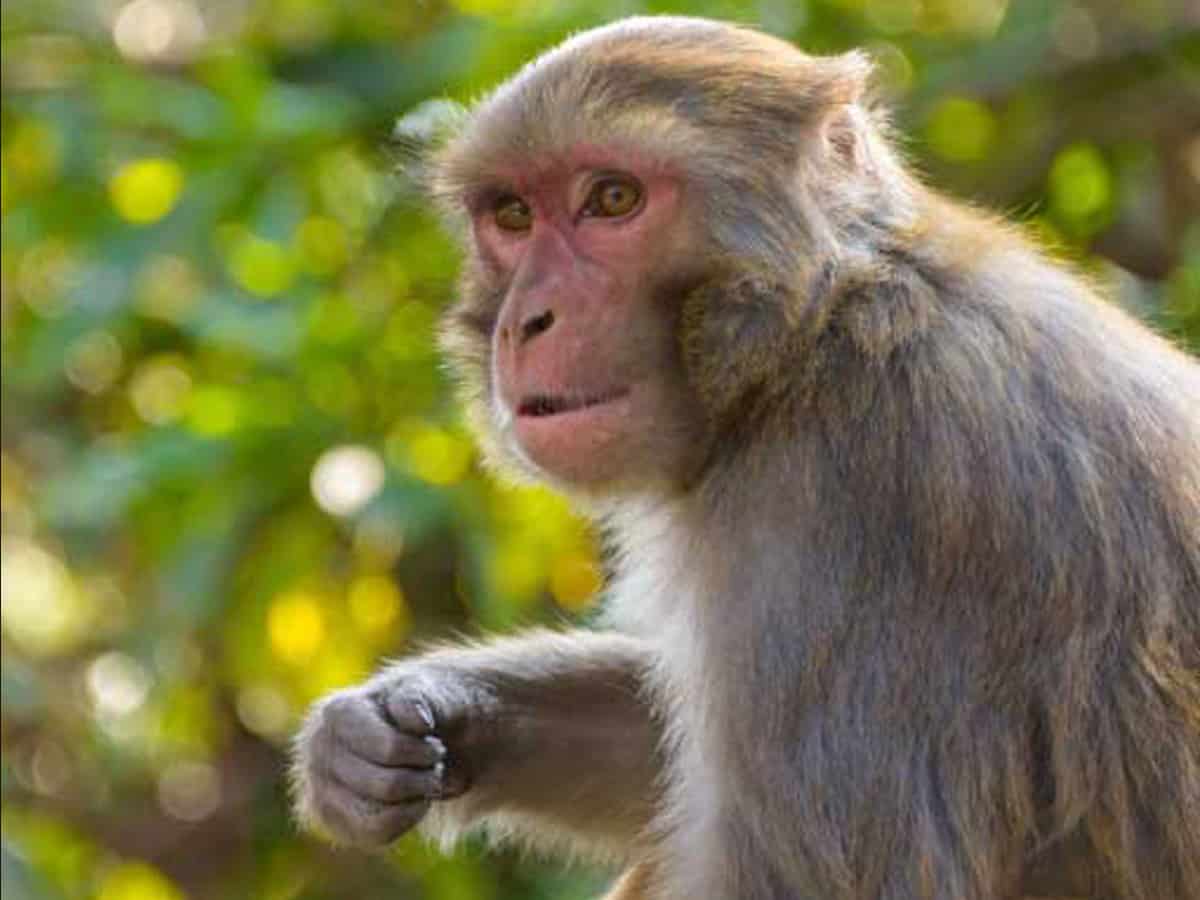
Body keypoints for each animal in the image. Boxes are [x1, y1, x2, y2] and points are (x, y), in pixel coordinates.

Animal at [291, 16, 1200, 900]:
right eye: (512, 215)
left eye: (612, 199)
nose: (528, 320)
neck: (815, 339)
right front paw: (392, 723)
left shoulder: (857, 502)